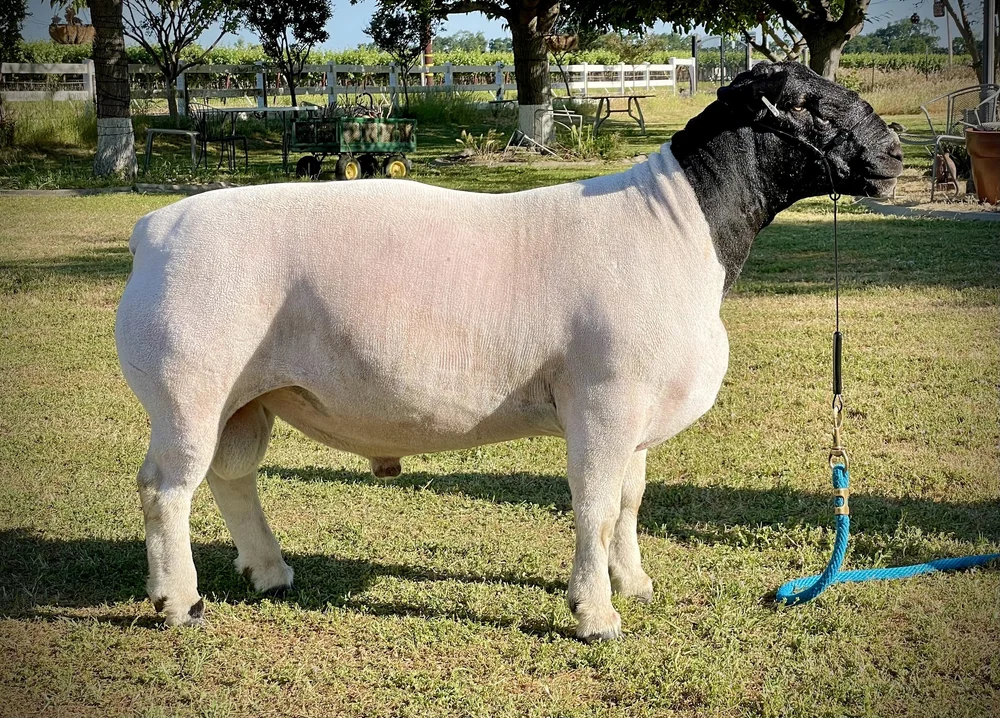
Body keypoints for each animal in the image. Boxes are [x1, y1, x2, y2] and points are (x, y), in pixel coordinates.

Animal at [115, 62, 902, 641]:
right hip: (188, 388)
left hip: (246, 397)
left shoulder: (636, 409)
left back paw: (268, 572)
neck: (681, 225)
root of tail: (154, 229)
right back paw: (179, 602)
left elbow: (630, 501)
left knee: (232, 476)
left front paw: (634, 584)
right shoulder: (604, 402)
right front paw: (596, 614)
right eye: (804, 104)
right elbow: (596, 506)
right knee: (167, 488)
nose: (893, 150)